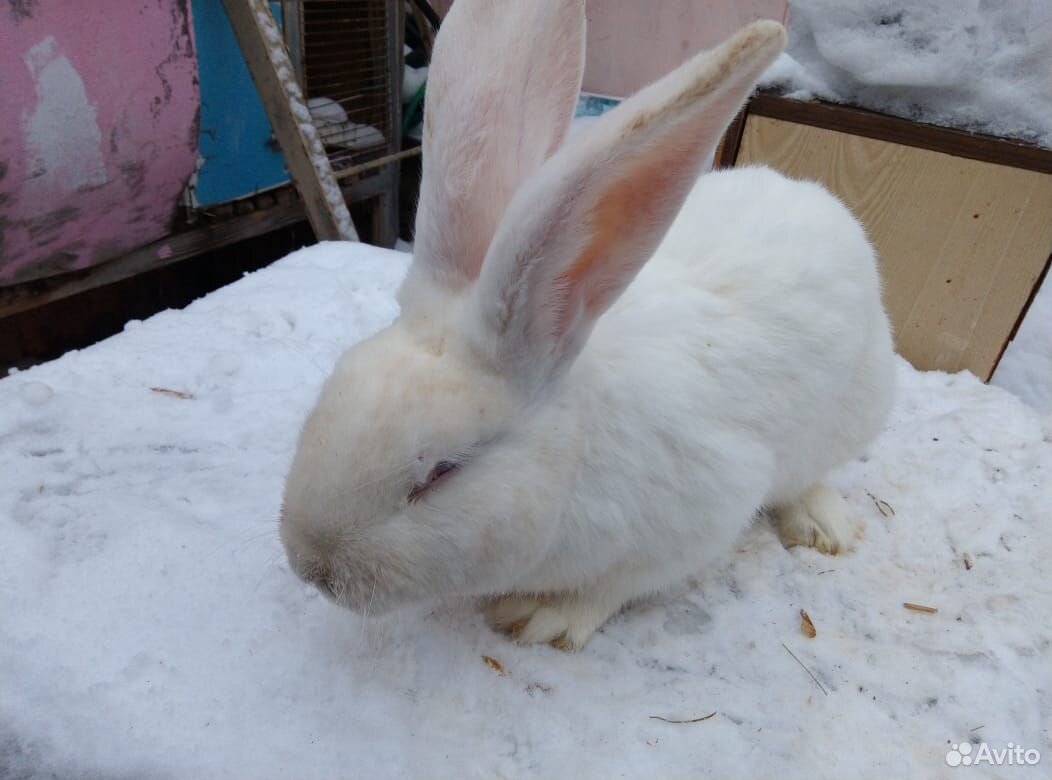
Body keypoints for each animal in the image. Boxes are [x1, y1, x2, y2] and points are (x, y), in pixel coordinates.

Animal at [280, 0, 896, 651]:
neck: (572, 452)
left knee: (811, 476)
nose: (309, 565)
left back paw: (824, 525)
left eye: (441, 473)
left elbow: (613, 587)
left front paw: (539, 617)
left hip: (848, 416)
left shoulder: (701, 516)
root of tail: (817, 199)